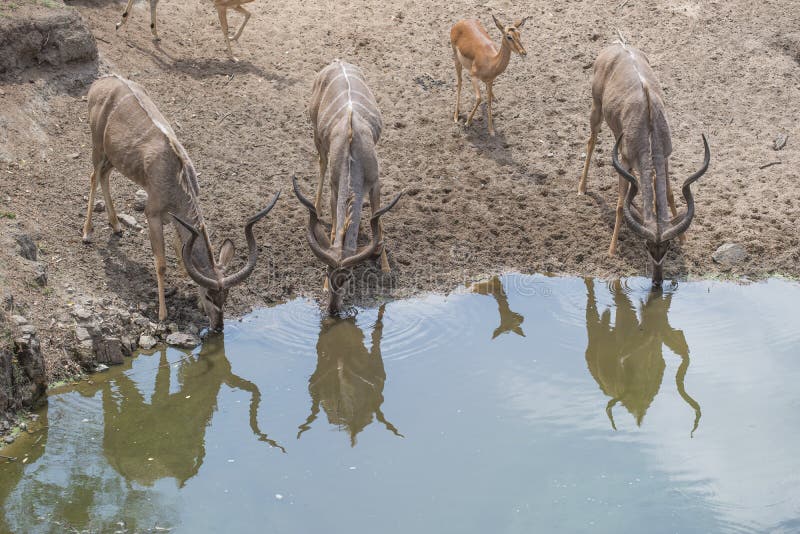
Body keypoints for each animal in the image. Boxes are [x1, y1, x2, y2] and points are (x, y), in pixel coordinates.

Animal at [82, 74, 279, 331]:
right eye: (209, 295)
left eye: (225, 297)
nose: (218, 326)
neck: (176, 176)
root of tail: (102, 82)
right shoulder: (153, 214)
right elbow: (161, 264)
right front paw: (162, 314)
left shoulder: (176, 221)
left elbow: (182, 252)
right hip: (97, 146)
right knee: (94, 176)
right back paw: (87, 233)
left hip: (112, 157)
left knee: (104, 176)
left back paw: (116, 226)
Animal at [114, 0, 254, 59]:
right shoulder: (221, 5)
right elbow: (225, 28)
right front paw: (233, 57)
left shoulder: (232, 5)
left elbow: (248, 14)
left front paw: (234, 38)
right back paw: (119, 23)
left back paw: (155, 34)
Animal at [293, 60, 402, 314]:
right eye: (326, 272)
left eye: (349, 277)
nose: (333, 309)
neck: (353, 154)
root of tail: (338, 61)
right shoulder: (335, 185)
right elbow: (335, 227)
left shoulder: (375, 182)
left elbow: (377, 221)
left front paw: (385, 268)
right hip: (316, 135)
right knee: (321, 162)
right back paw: (315, 206)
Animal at [577, 43, 710, 287]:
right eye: (647, 246)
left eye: (666, 246)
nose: (657, 281)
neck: (648, 125)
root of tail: (617, 45)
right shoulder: (625, 160)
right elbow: (621, 205)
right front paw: (611, 251)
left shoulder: (664, 157)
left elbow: (670, 194)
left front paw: (684, 239)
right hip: (596, 109)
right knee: (591, 140)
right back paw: (581, 188)